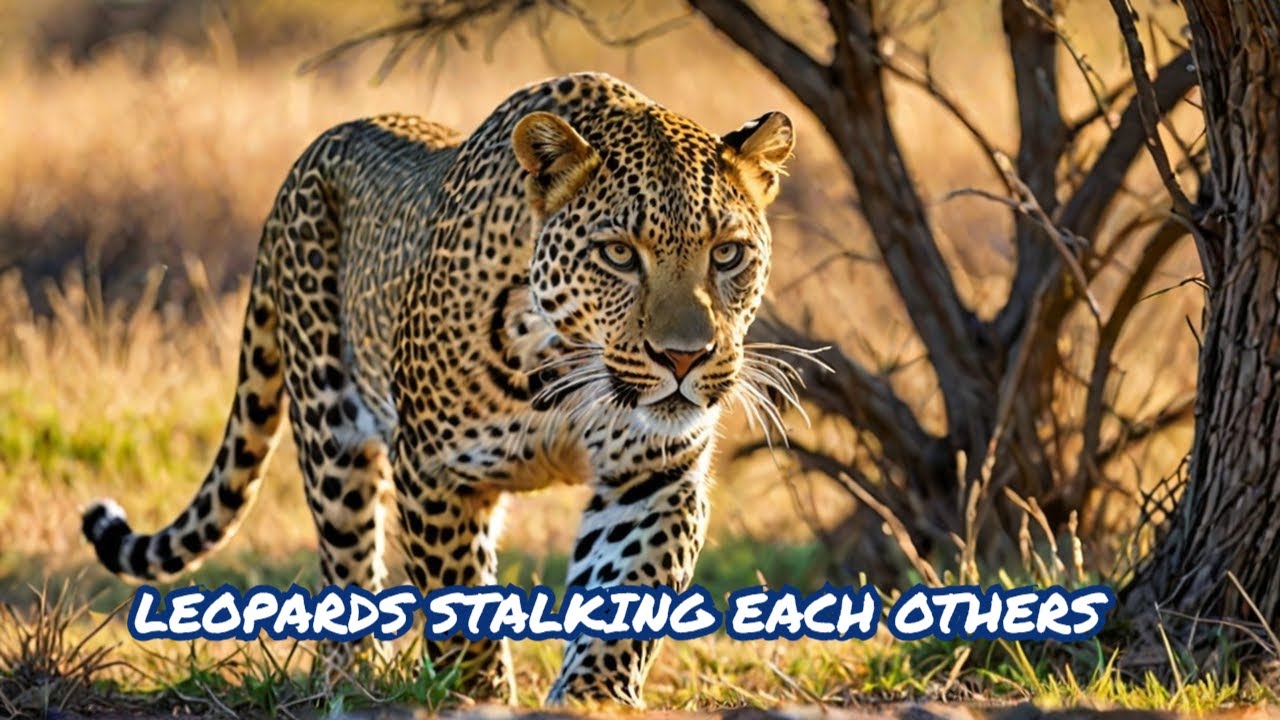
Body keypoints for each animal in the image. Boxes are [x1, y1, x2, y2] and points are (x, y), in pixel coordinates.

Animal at [80, 71, 797, 706]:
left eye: (728, 253)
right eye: (619, 253)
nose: (684, 357)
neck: (565, 369)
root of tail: (303, 163)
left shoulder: (653, 473)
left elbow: (628, 584)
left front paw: (595, 696)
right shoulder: (434, 469)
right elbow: (461, 601)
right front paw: (477, 694)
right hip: (332, 432)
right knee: (346, 561)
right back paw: (352, 678)